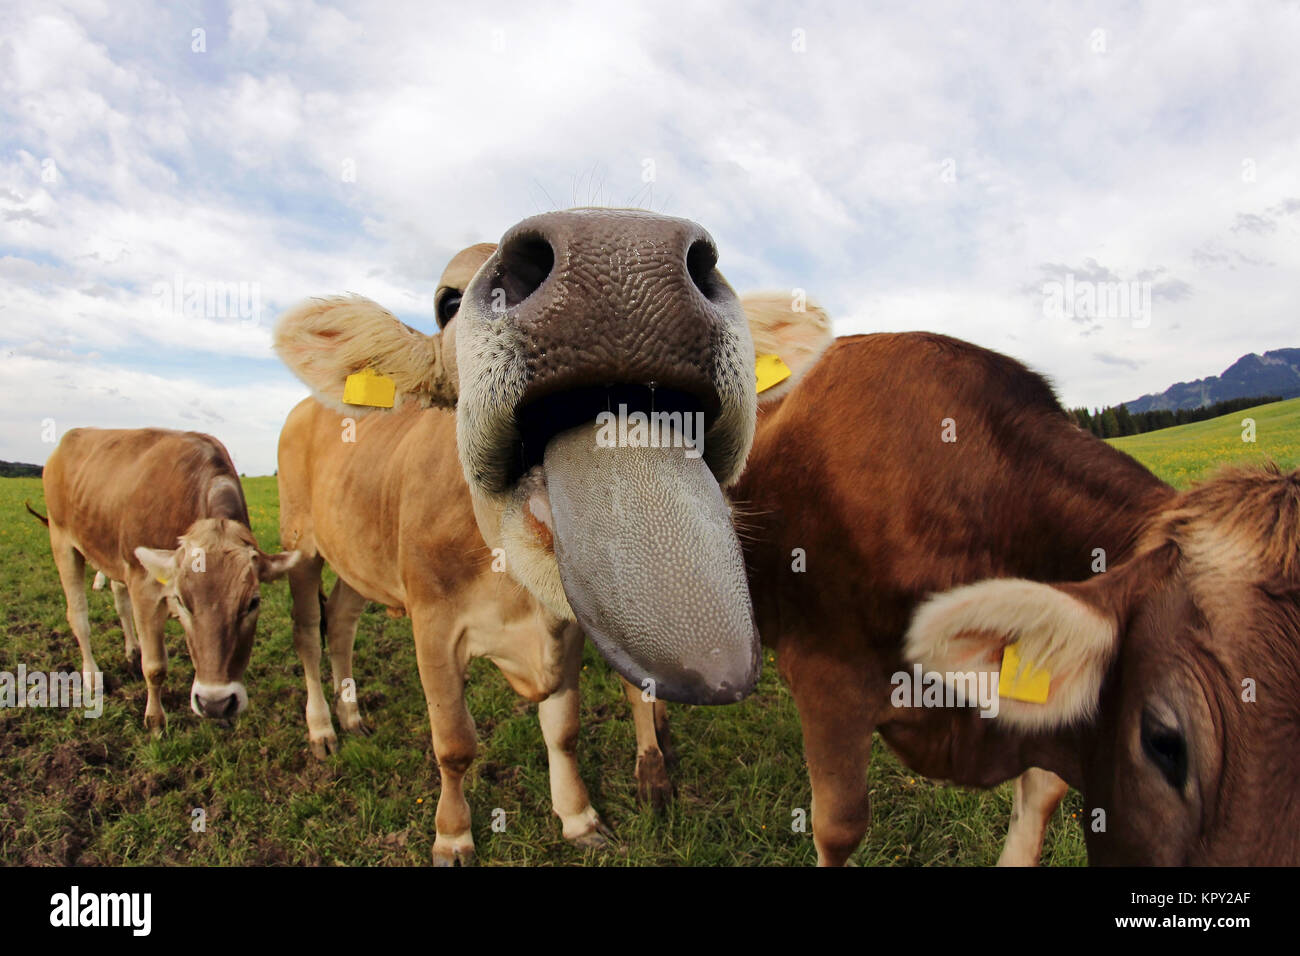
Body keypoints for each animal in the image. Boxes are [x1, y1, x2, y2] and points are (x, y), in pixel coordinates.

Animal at [33, 428, 300, 729]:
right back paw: (91, 675)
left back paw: (131, 649)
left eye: (253, 602)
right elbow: (155, 667)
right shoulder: (143, 586)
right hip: (62, 541)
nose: (215, 703)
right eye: (182, 601)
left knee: (120, 602)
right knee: (79, 617)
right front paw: (155, 719)